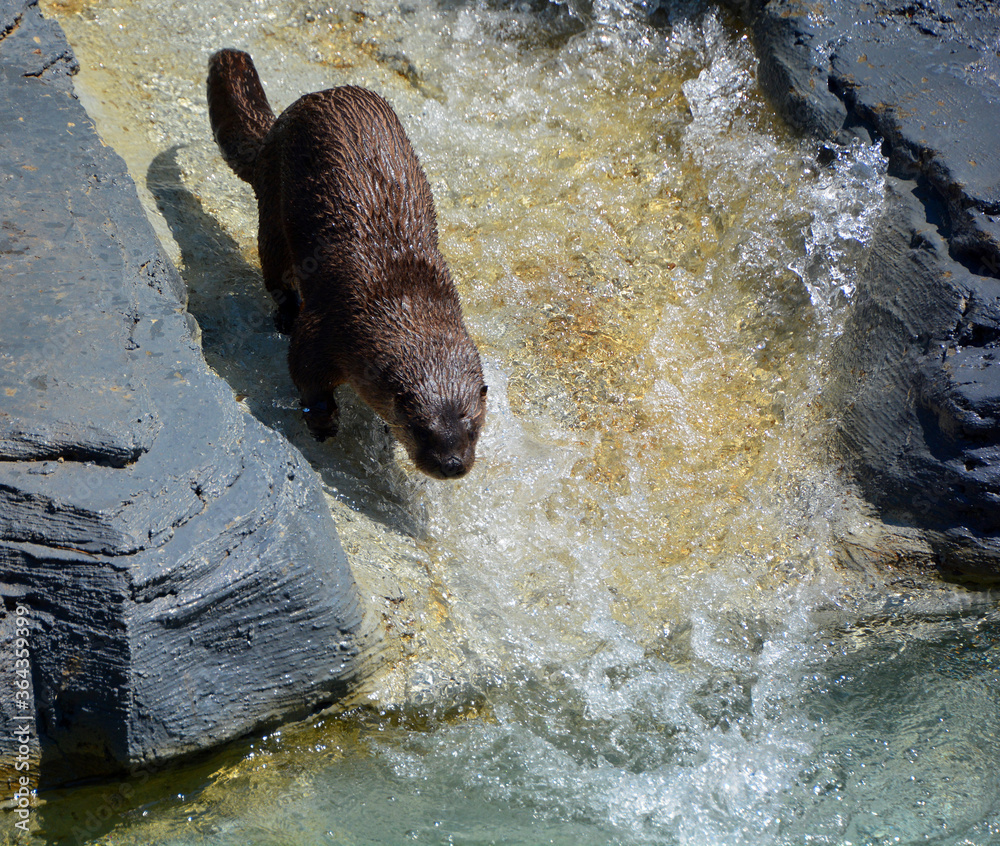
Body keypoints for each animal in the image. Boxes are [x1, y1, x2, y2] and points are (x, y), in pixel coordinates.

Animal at [207, 49, 487, 479]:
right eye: (421, 428)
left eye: (472, 426)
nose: (452, 464)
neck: (403, 295)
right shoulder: (329, 326)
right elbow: (305, 375)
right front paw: (323, 424)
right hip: (274, 205)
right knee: (274, 268)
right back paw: (284, 314)